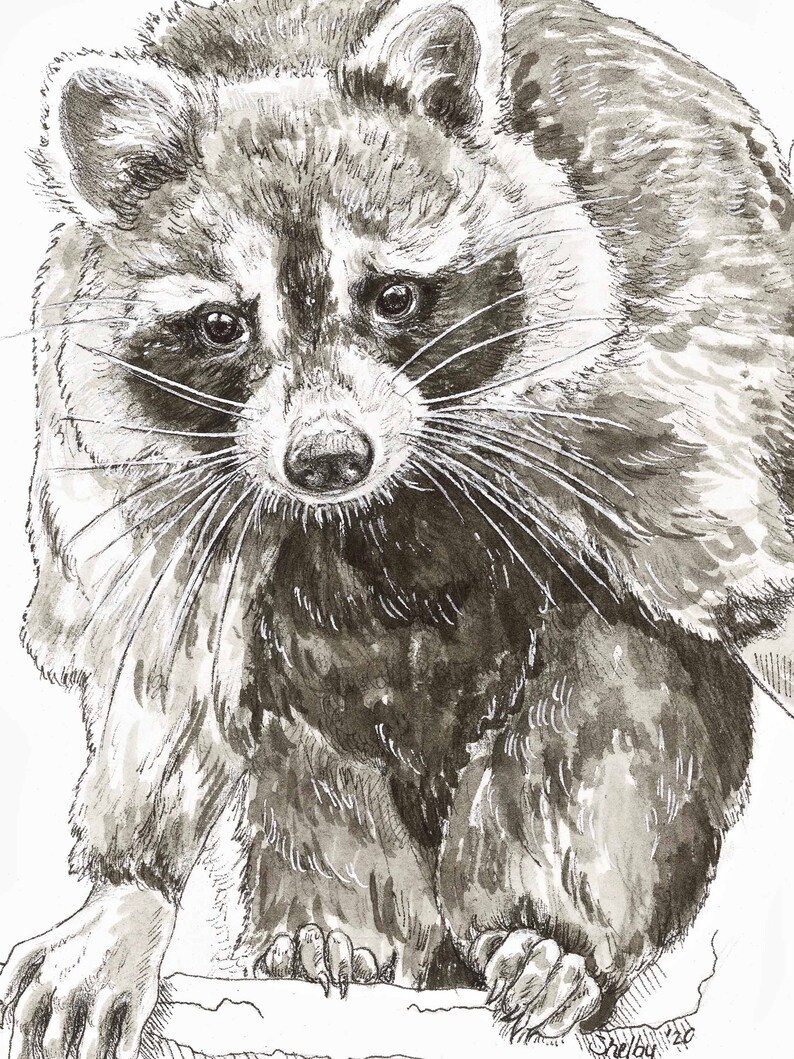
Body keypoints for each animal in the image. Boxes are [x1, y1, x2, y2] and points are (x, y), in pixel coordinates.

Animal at [1, 0, 792, 1049]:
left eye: (395, 296)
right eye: (222, 324)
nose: (328, 458)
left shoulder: (671, 318)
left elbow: (727, 562)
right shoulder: (117, 440)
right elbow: (161, 655)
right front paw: (130, 884)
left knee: (614, 699)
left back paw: (558, 930)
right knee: (300, 744)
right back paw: (336, 927)